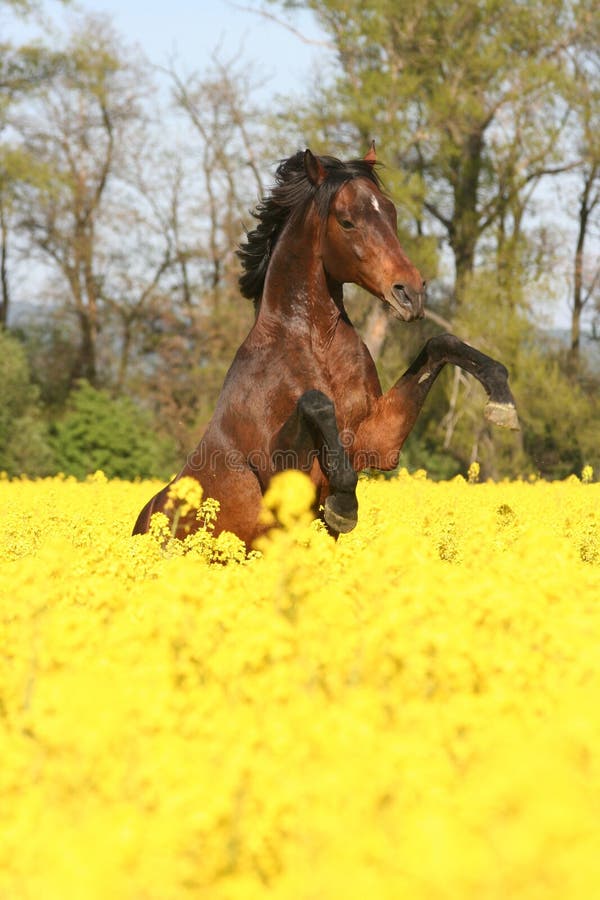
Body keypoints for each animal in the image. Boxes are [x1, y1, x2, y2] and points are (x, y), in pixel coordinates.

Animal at [133, 145, 519, 545]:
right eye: (347, 222)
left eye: (391, 213)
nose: (409, 293)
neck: (316, 346)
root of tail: (145, 518)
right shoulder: (279, 466)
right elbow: (316, 402)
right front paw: (343, 506)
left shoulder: (377, 442)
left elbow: (442, 342)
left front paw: (502, 402)